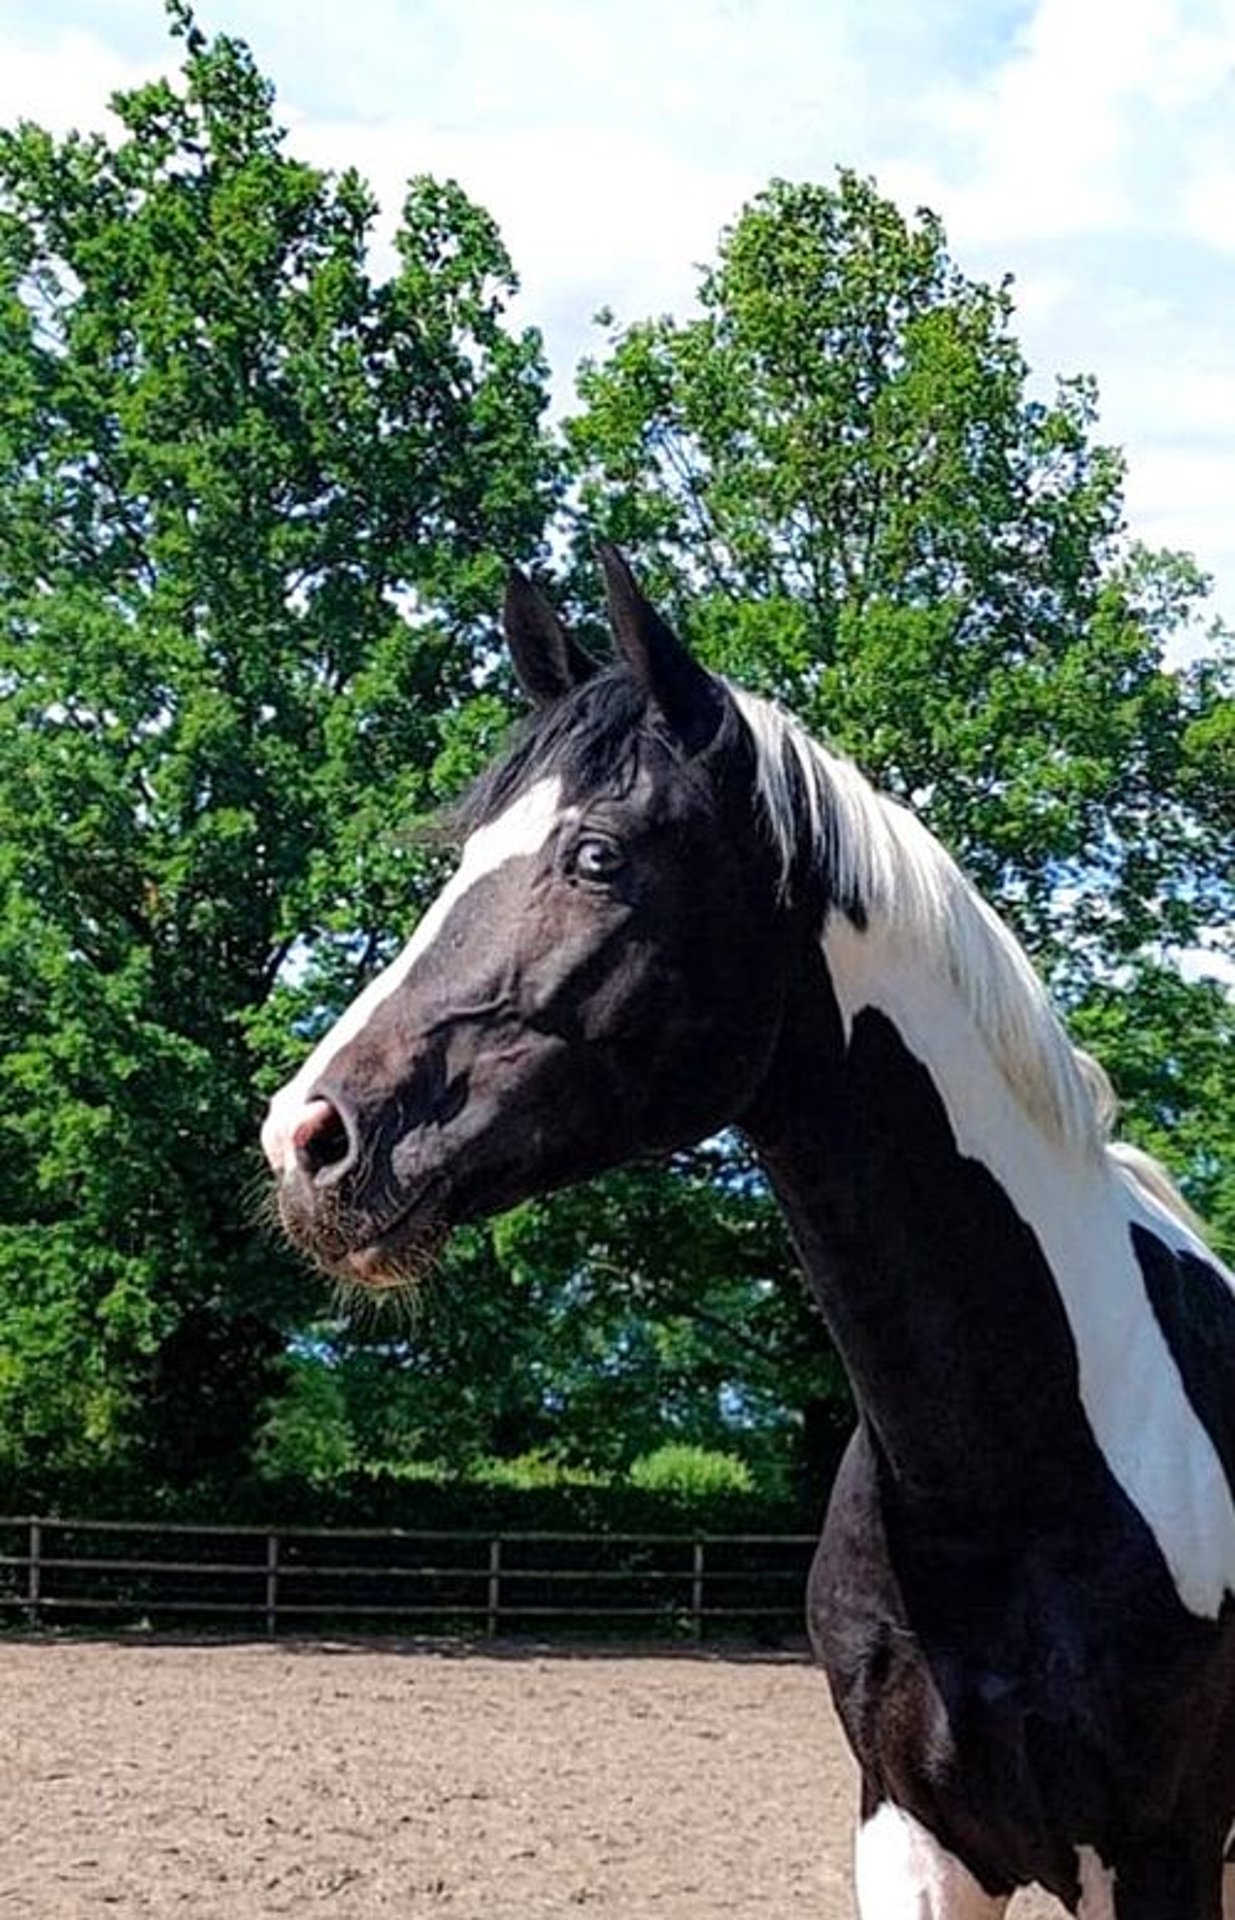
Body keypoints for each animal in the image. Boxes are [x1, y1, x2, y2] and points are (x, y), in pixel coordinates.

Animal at [261, 546, 1235, 1918]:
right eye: (460, 855)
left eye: (597, 855)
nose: (308, 1140)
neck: (1012, 1474)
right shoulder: (911, 1836)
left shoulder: (1160, 1854)